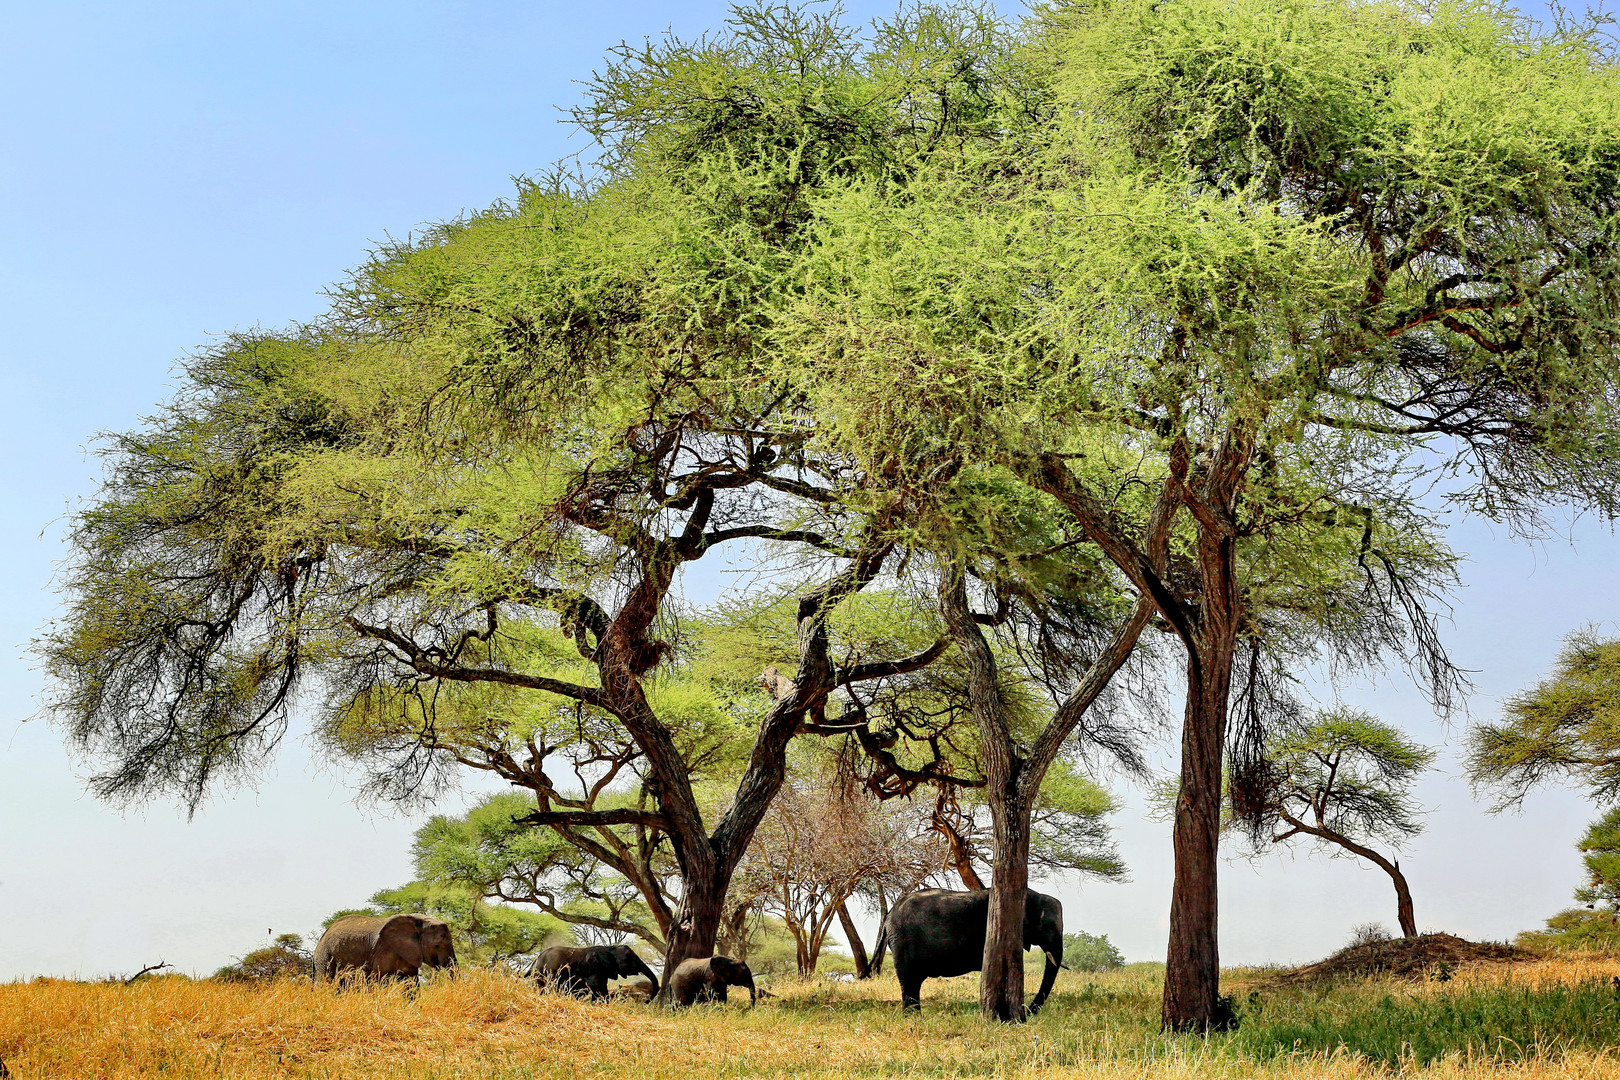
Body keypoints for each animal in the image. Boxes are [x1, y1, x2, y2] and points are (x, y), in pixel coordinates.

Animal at [312, 913, 460, 990]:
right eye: (436, 945)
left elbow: (411, 984)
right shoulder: (383, 950)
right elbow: (380, 980)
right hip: (325, 956)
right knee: (327, 980)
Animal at [874, 887, 1062, 1016]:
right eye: (1048, 926)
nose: (1028, 1012)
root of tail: (889, 915)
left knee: (913, 983)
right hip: (902, 939)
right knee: (909, 980)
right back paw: (913, 1017)